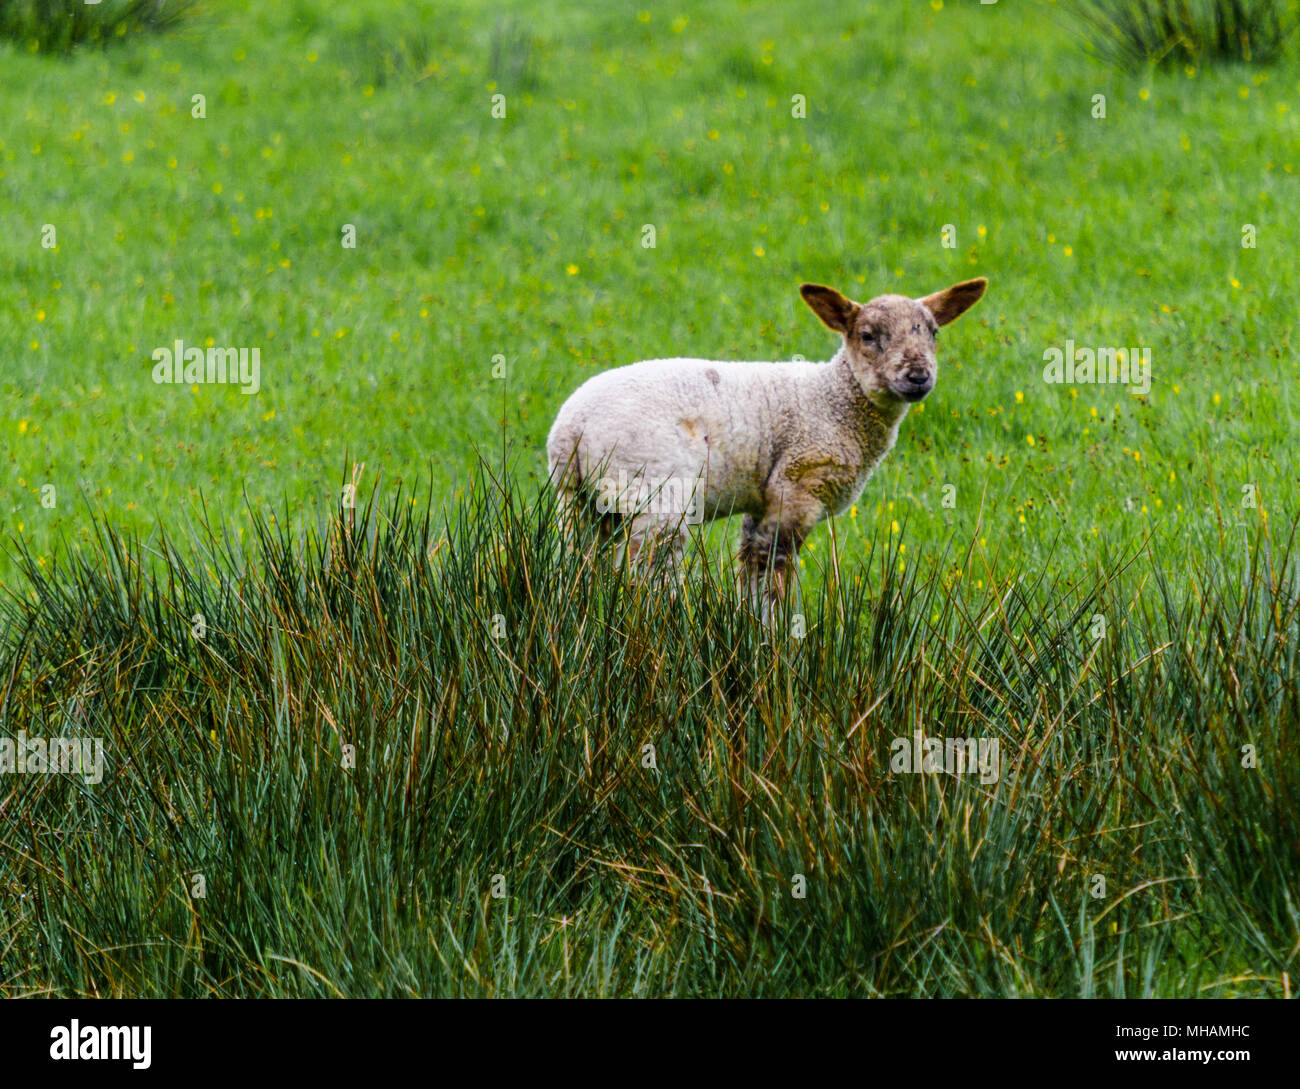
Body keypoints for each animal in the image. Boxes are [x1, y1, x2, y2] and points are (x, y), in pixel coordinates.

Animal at [546, 276, 987, 603]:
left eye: (933, 333)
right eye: (867, 335)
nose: (918, 376)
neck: (834, 400)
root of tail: (571, 427)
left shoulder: (763, 500)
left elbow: (752, 573)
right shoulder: (796, 488)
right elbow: (773, 578)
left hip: (580, 503)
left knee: (581, 568)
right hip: (655, 494)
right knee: (645, 578)